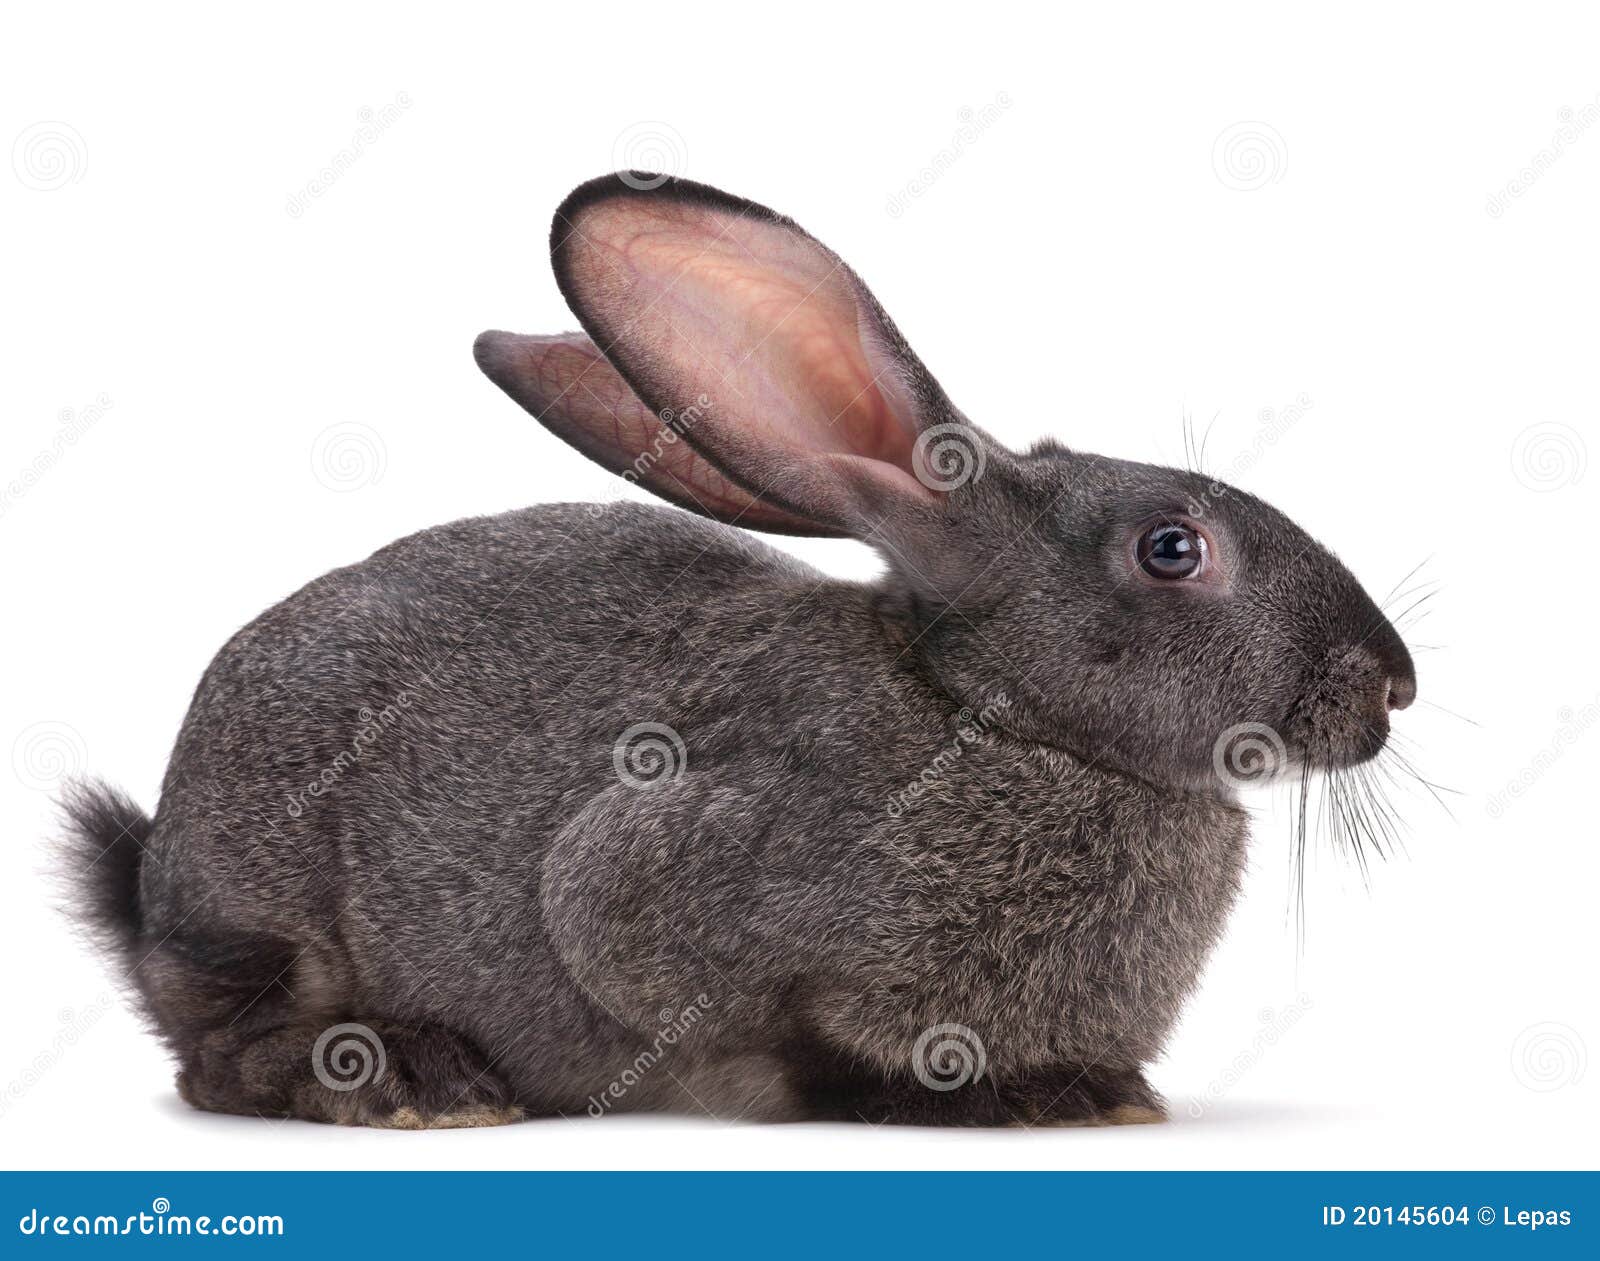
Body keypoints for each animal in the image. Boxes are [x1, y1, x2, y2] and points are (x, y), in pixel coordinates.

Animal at [61, 172, 1416, 1129]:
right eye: (1171, 549)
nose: (1392, 684)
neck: (988, 712)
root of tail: (151, 880)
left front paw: (1101, 1091)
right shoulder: (647, 884)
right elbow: (757, 1023)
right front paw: (1008, 1099)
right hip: (264, 905)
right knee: (219, 1059)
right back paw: (414, 1081)